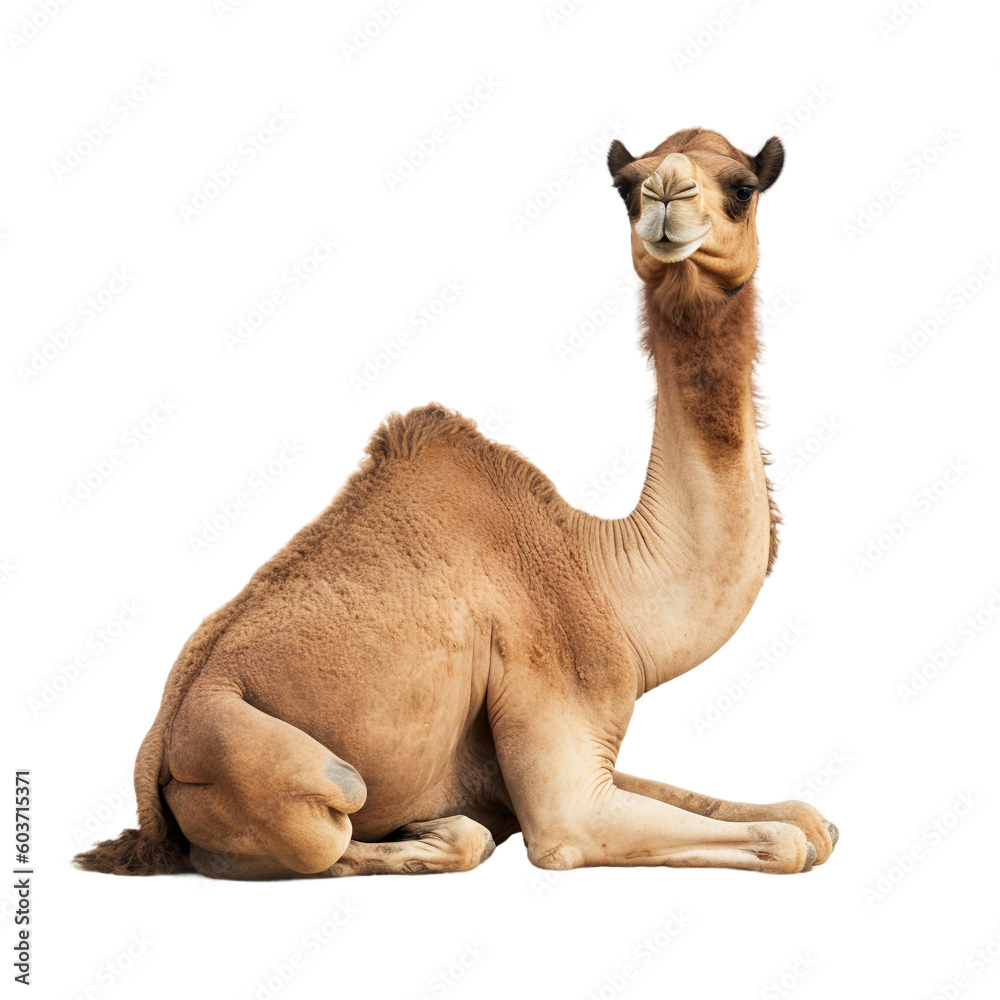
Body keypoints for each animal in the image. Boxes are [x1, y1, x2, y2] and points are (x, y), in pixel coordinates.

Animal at [75, 126, 838, 880]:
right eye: (626, 187)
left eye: (743, 186)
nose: (666, 193)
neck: (606, 574)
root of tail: (154, 758)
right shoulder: (564, 773)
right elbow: (783, 840)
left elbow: (807, 819)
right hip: (277, 760)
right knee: (342, 829)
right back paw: (439, 830)